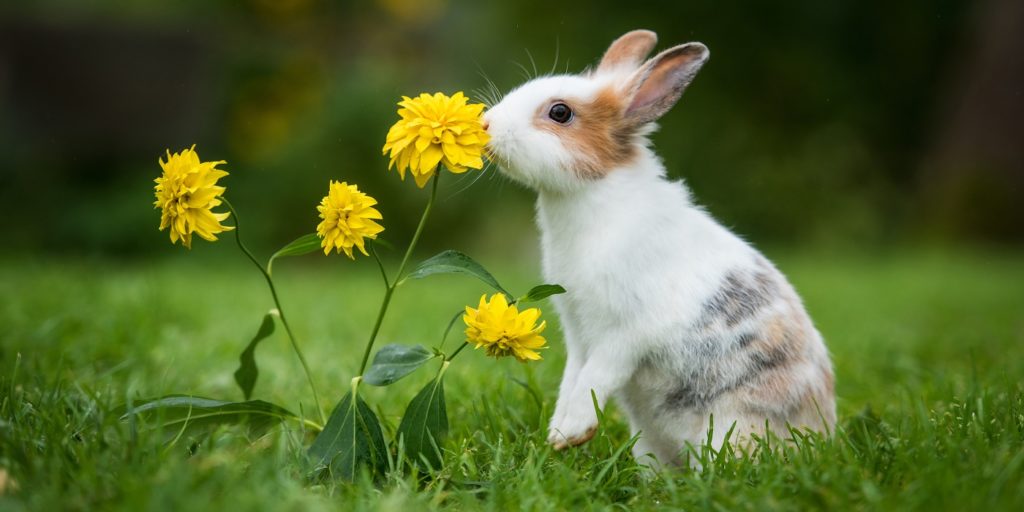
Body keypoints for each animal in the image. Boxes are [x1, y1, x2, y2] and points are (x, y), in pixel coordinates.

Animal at [481, 29, 836, 467]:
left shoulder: (624, 333)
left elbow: (595, 377)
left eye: (560, 113)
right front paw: (559, 434)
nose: (486, 124)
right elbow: (573, 377)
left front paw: (571, 433)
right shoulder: (578, 332)